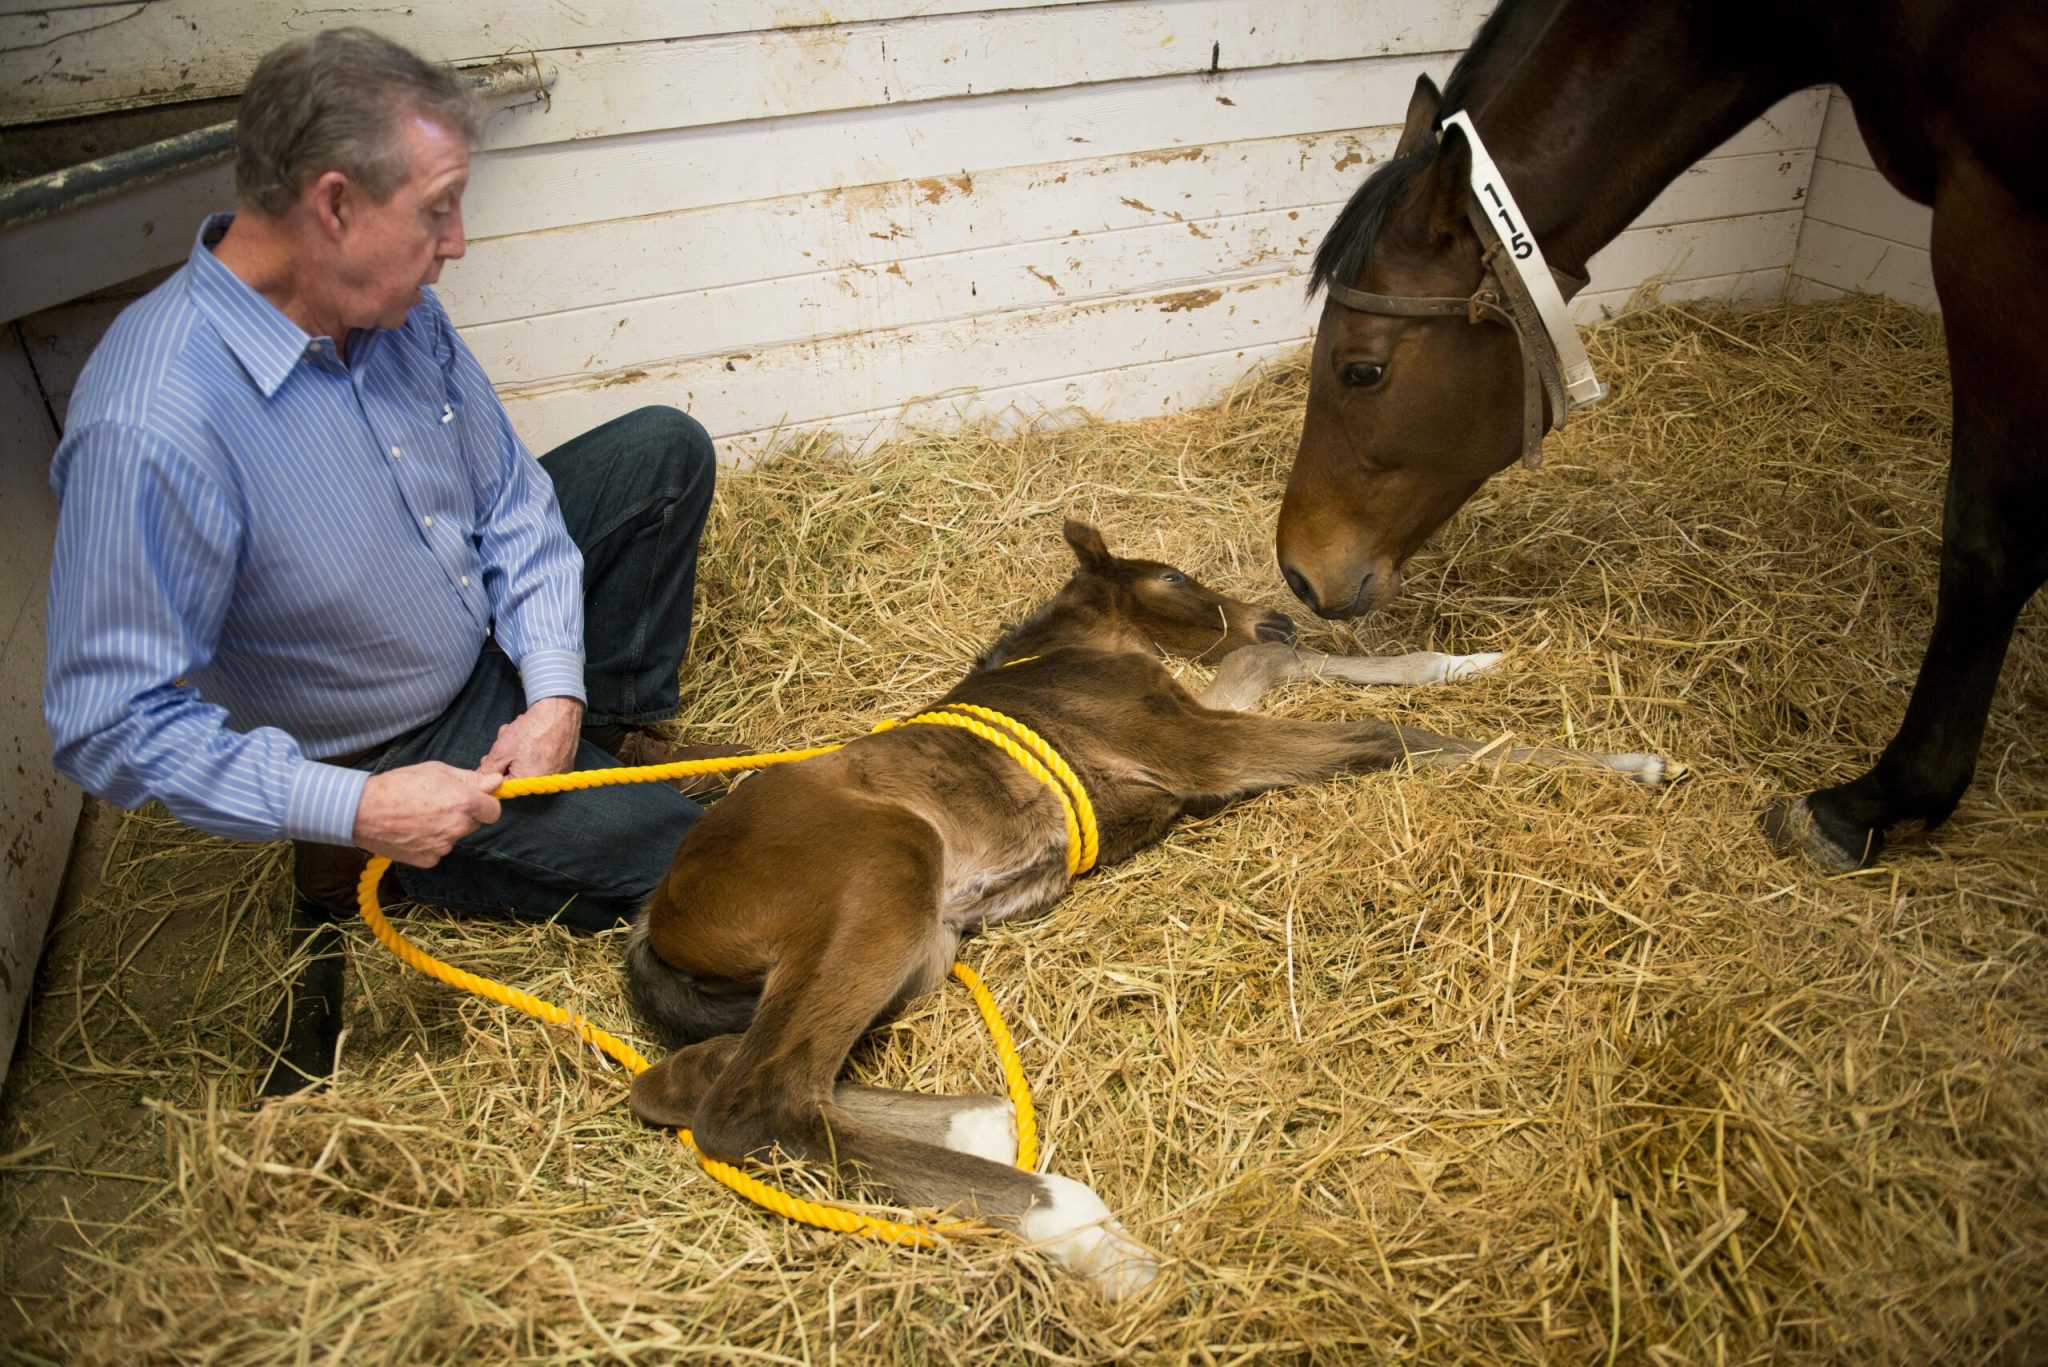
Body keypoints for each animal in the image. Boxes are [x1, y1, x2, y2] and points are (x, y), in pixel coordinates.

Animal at [622, 519, 1667, 1297]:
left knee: (694, 1076)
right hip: (889, 873)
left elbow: (1316, 682)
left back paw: (982, 1123)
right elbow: (1383, 736)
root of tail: (657, 914)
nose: (1276, 618)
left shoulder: (1201, 727)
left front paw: (1462, 660)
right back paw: (1087, 1231)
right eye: (1170, 575)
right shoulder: (1198, 751)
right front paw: (1628, 762)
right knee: (752, 1100)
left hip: (917, 948)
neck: (1073, 657)